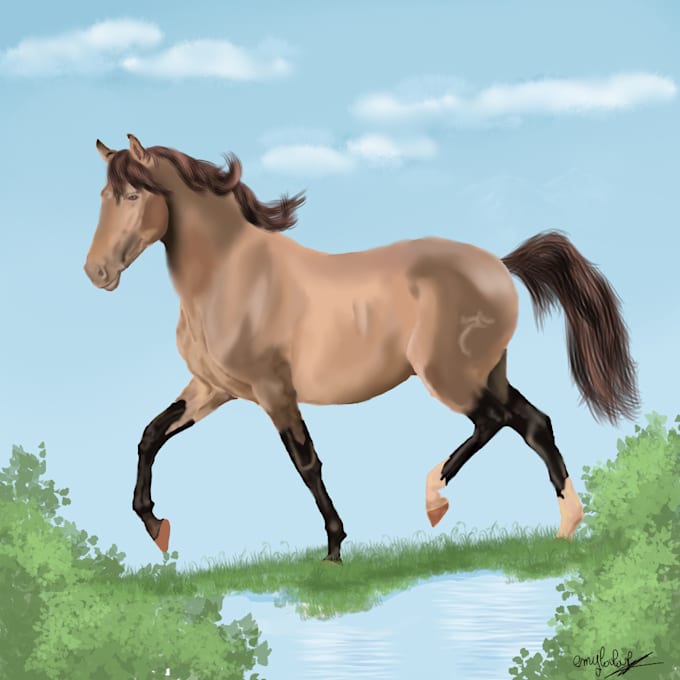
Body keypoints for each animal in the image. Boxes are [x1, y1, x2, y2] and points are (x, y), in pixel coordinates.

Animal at [84, 134, 639, 561]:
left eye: (132, 195)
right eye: (103, 195)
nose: (97, 272)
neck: (233, 277)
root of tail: (501, 265)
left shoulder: (273, 391)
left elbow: (307, 463)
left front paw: (334, 549)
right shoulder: (213, 388)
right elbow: (151, 435)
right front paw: (157, 528)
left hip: (450, 377)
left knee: (495, 421)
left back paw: (435, 501)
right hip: (485, 371)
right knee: (533, 423)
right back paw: (566, 526)